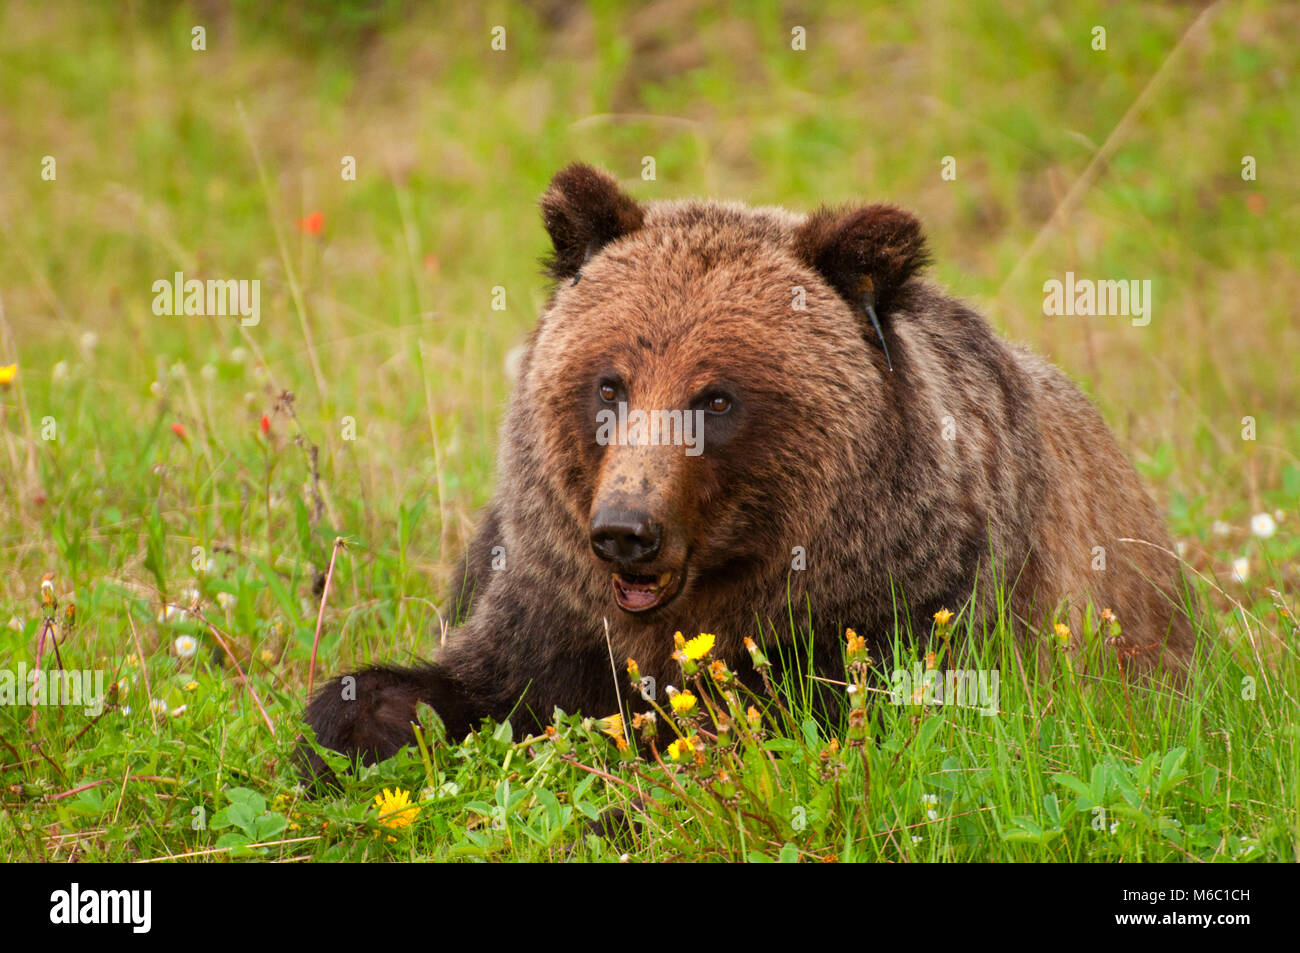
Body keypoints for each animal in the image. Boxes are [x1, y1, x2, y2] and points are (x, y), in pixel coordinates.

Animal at [301, 162, 1194, 779]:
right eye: (609, 383)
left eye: (717, 397)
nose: (626, 530)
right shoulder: (550, 596)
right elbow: (462, 684)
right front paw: (346, 734)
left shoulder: (904, 605)